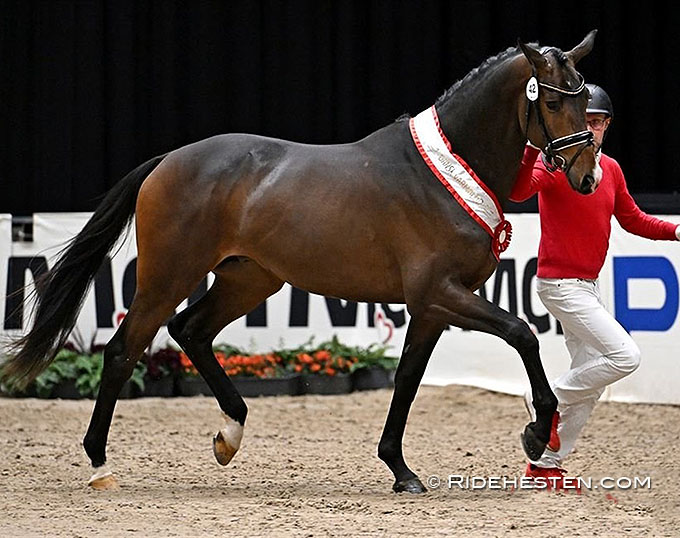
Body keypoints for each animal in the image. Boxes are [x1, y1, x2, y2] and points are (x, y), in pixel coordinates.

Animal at [1, 31, 599, 493]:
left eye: (582, 101)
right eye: (552, 103)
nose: (587, 175)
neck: (446, 172)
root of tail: (169, 160)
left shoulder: (432, 307)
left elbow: (407, 379)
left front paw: (399, 469)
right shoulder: (441, 294)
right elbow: (521, 333)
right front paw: (536, 431)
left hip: (250, 279)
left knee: (190, 330)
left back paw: (230, 433)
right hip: (168, 276)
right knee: (125, 349)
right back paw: (101, 464)